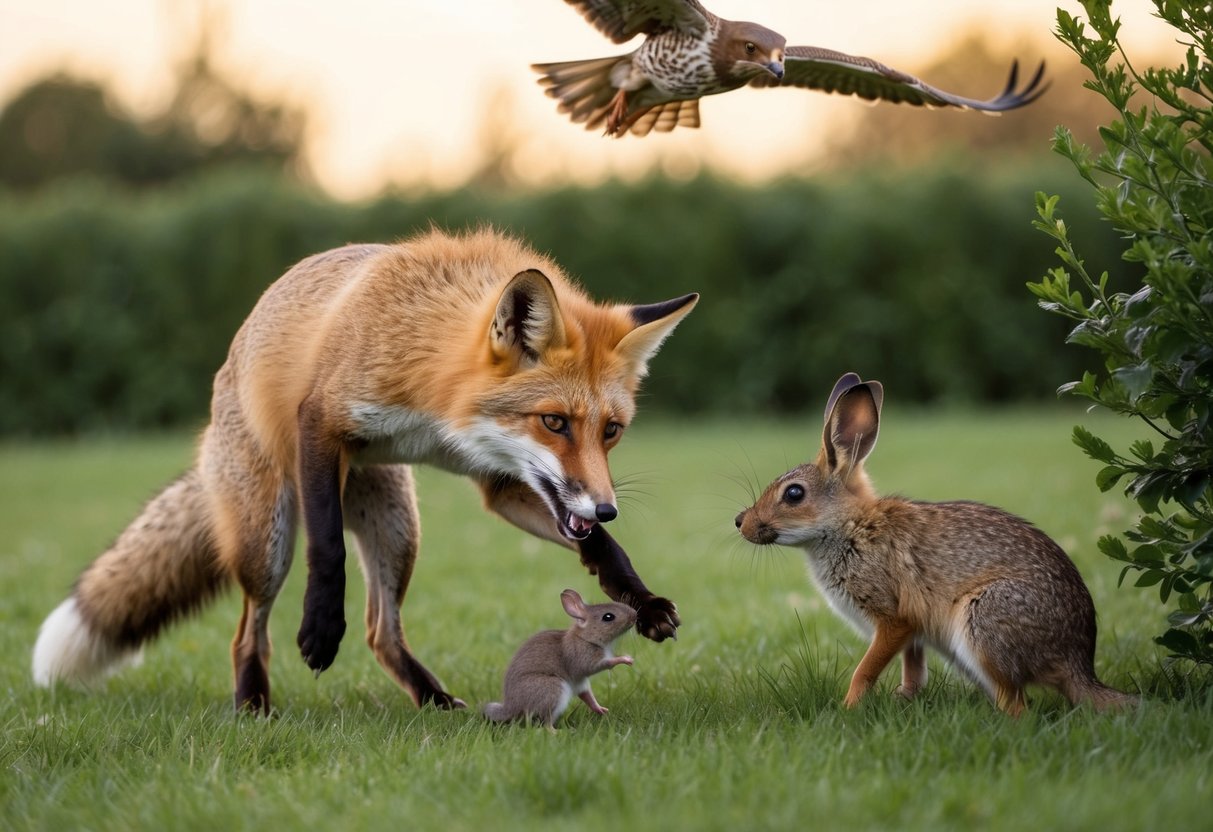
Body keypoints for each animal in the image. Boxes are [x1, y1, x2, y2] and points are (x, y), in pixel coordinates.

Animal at [32, 227, 696, 714]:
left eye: (611, 430)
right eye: (554, 422)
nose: (606, 505)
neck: (435, 406)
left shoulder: (501, 483)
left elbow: (603, 547)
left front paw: (641, 600)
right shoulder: (321, 422)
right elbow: (327, 548)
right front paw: (323, 627)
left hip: (397, 530)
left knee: (383, 633)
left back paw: (434, 701)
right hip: (269, 540)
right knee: (249, 629)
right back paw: (253, 706)